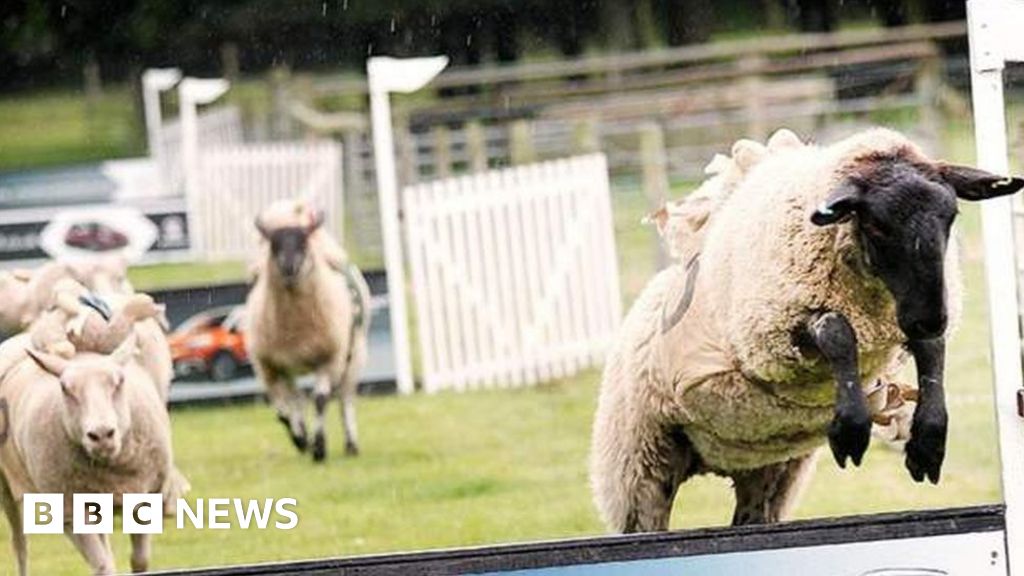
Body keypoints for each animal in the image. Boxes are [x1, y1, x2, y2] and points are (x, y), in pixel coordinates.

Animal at [0, 334, 185, 575]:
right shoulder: (69, 512)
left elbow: (140, 559)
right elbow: (103, 565)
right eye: (64, 388)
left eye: (119, 382)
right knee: (20, 544)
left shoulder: (145, 498)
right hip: (7, 486)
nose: (102, 435)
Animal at [245, 199, 371, 462]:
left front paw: (319, 448)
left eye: (303, 242)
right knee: (296, 399)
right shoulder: (270, 367)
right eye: (274, 245)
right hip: (291, 368)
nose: (289, 267)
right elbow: (283, 412)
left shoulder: (328, 359)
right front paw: (301, 439)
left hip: (353, 355)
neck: (295, 327)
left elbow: (321, 401)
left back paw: (351, 444)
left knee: (345, 399)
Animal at [590, 127, 1024, 533]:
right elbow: (837, 331)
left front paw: (928, 444)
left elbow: (932, 354)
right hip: (642, 467)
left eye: (951, 217)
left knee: (750, 518)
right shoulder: (776, 337)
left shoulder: (904, 318)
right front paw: (851, 428)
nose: (932, 318)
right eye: (878, 226)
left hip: (769, 473)